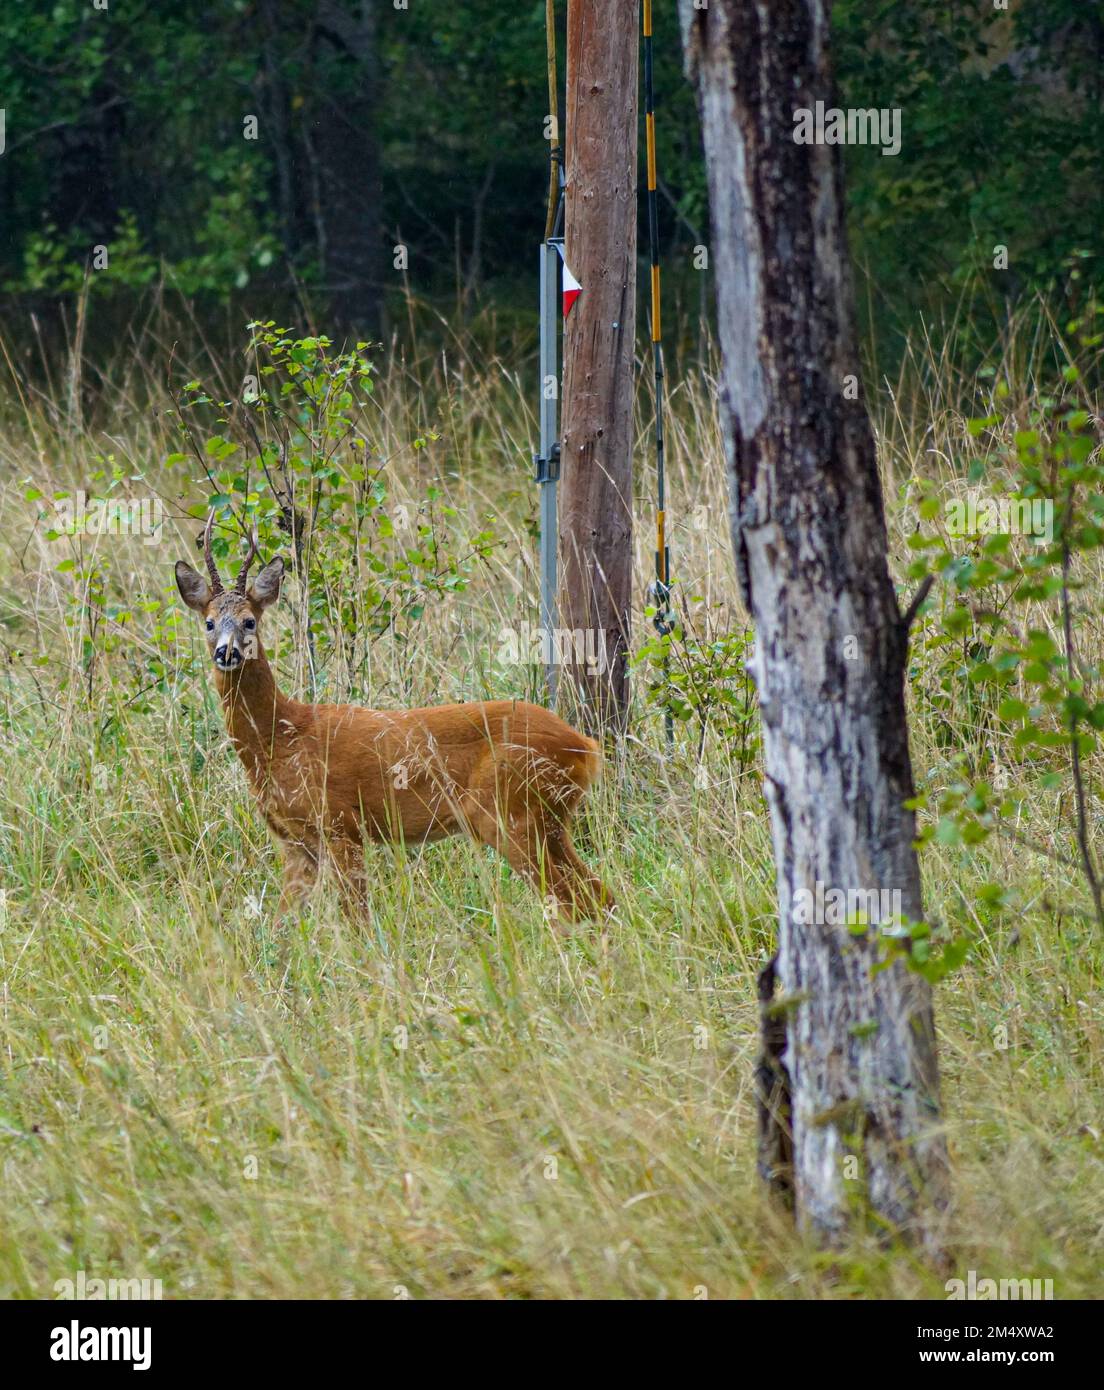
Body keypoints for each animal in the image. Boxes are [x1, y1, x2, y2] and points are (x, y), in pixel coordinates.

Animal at [175, 515, 613, 925]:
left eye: (249, 621)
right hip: (546, 820)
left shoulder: (341, 824)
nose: (227, 652)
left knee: (577, 899)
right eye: (209, 622)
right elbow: (280, 924)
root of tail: (586, 748)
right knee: (598, 895)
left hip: (512, 814)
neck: (281, 737)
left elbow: (358, 921)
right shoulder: (295, 843)